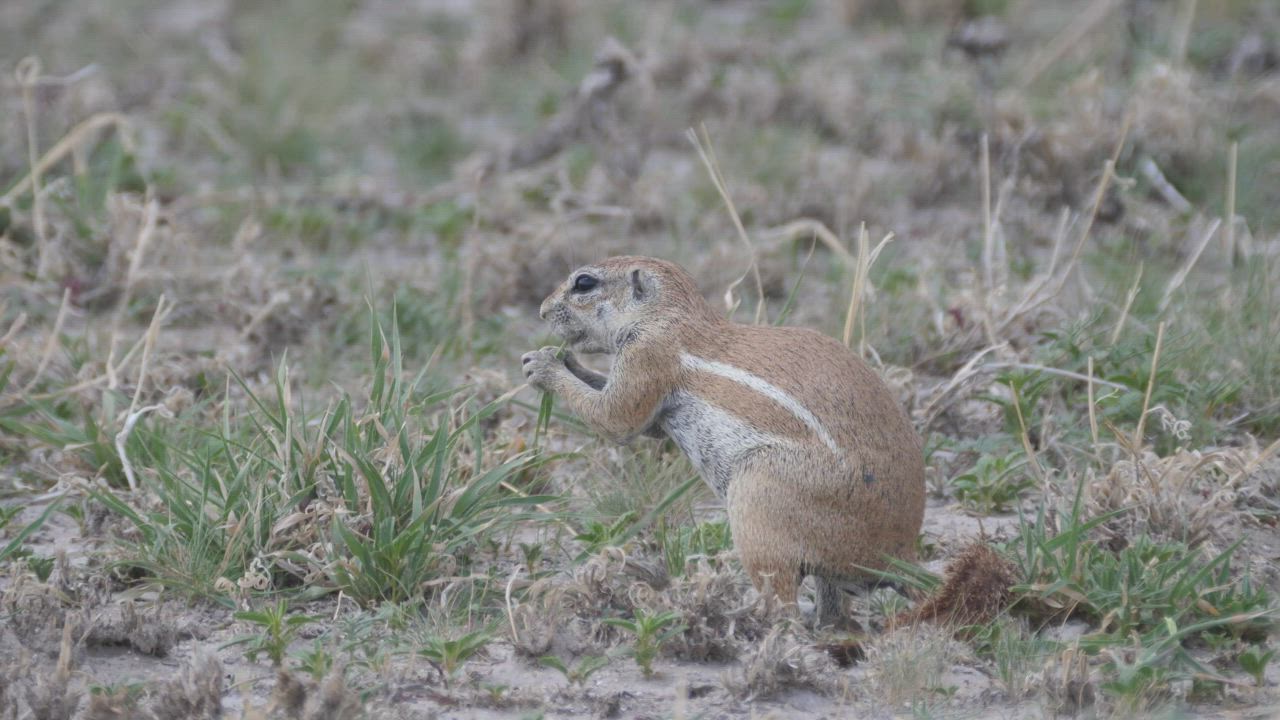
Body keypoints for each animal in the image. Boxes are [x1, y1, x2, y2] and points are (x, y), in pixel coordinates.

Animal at [522, 255, 926, 626]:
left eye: (584, 283)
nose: (541, 312)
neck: (668, 316)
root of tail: (899, 556)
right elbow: (645, 426)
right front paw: (564, 360)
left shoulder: (646, 357)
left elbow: (615, 419)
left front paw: (545, 365)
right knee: (834, 612)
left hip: (757, 496)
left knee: (783, 607)